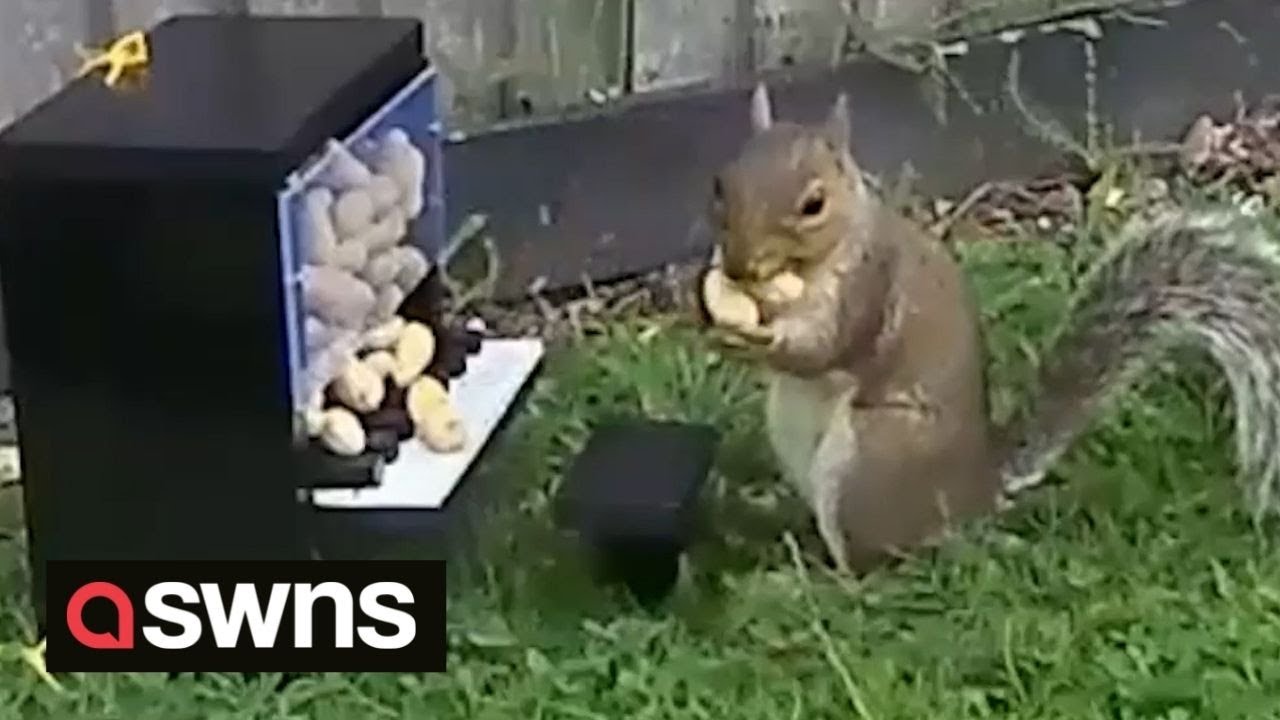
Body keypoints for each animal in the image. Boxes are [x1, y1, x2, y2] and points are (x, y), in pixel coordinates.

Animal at [700, 83, 1280, 573]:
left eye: (813, 204)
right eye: (720, 184)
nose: (739, 268)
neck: (805, 271)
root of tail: (969, 492)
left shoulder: (869, 286)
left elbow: (825, 348)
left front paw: (757, 338)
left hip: (870, 460)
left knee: (871, 565)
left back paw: (807, 582)